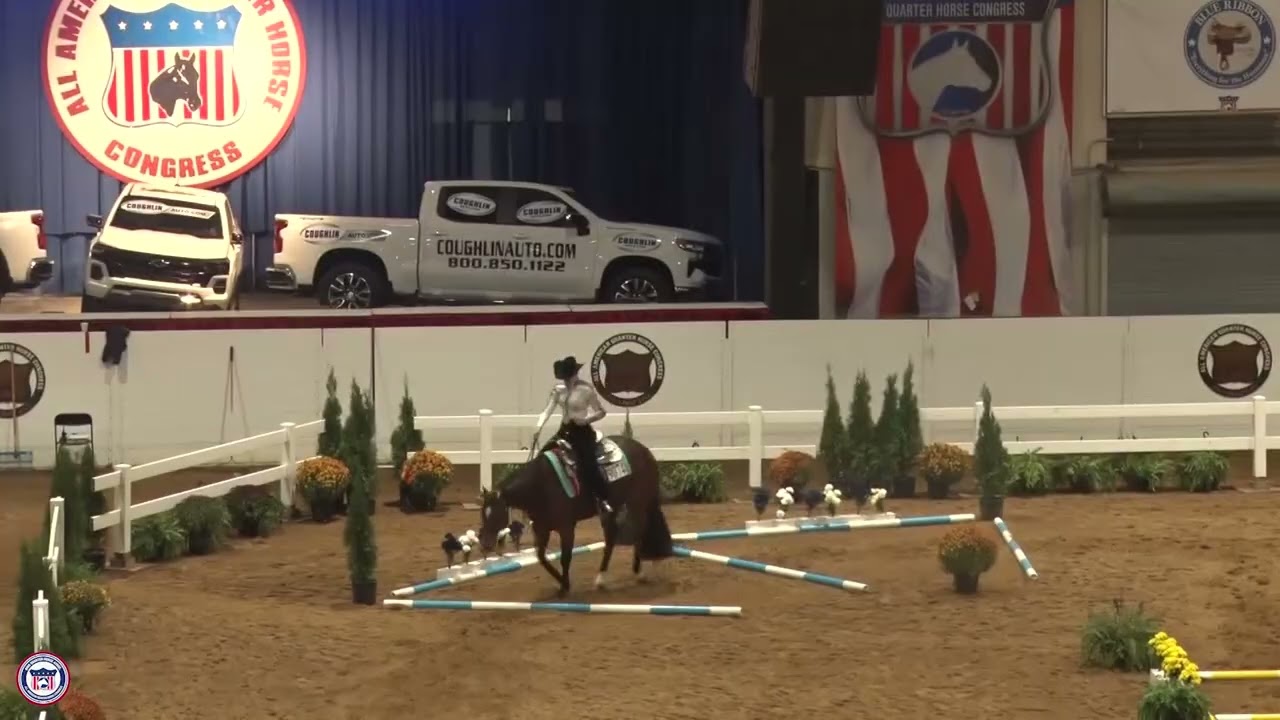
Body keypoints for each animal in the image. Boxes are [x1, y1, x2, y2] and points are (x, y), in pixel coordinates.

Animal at [477, 433, 673, 596]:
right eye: (483, 513)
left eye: (496, 513)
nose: (485, 544)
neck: (541, 486)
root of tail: (644, 450)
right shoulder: (542, 529)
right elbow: (541, 557)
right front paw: (562, 583)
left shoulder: (566, 528)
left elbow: (565, 558)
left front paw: (565, 586)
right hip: (612, 509)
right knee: (611, 540)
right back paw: (601, 579)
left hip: (637, 503)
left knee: (639, 533)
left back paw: (639, 573)